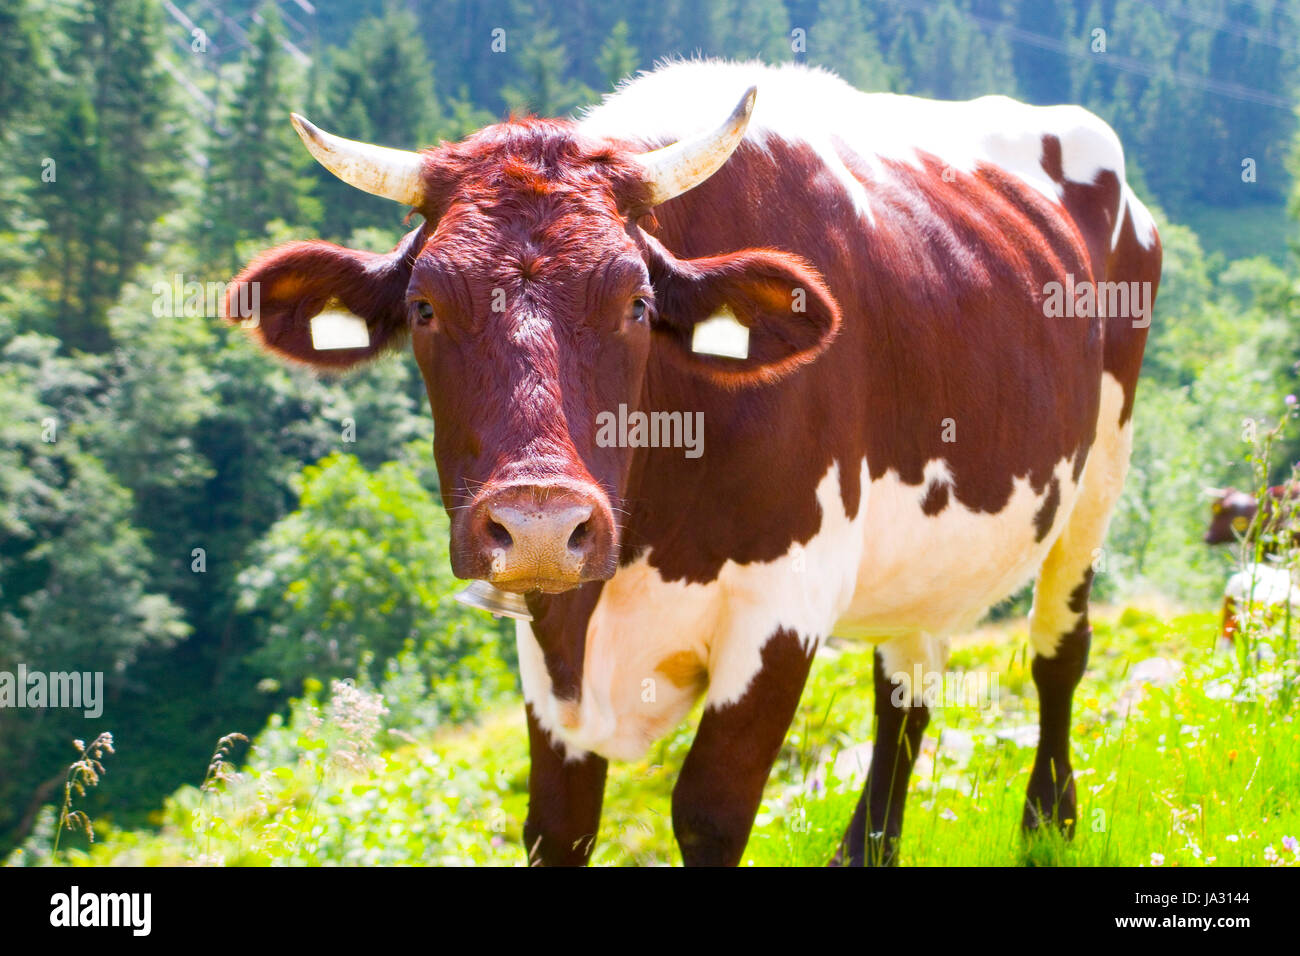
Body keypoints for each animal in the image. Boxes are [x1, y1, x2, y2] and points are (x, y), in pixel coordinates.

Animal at [222, 60, 1162, 866]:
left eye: (636, 303)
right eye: (424, 306)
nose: (539, 525)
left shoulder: (784, 604)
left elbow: (709, 812)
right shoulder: (546, 636)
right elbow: (558, 824)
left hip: (1100, 476)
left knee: (1057, 651)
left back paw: (1049, 826)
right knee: (906, 686)